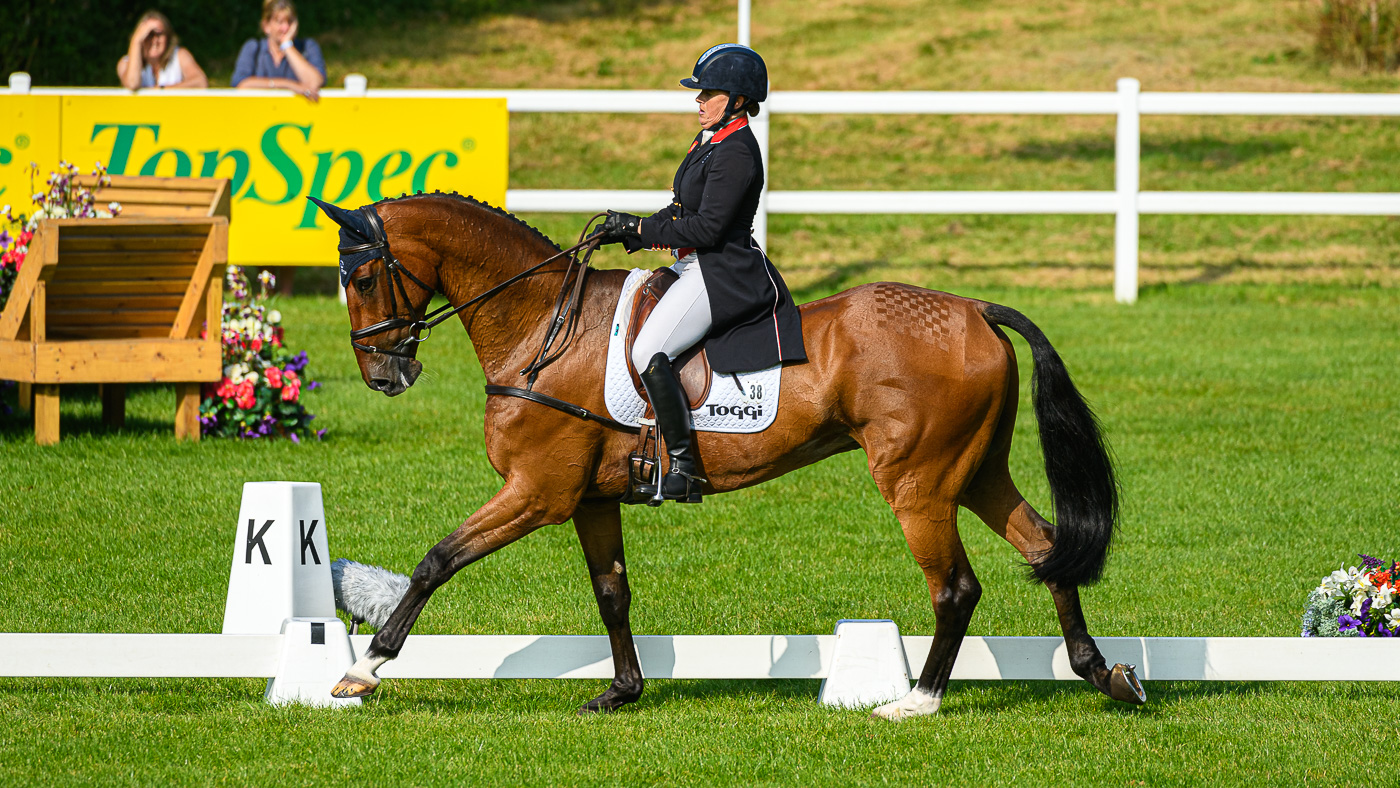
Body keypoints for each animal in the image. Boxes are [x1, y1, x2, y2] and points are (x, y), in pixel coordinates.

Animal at [311, 192, 1146, 719]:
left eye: (361, 275)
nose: (384, 376)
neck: (542, 326)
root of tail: (973, 308)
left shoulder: (537, 492)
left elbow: (437, 560)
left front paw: (361, 669)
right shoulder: (589, 499)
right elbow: (612, 594)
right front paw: (622, 692)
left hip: (917, 484)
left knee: (956, 588)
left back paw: (915, 702)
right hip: (975, 474)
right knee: (1046, 550)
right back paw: (1104, 675)